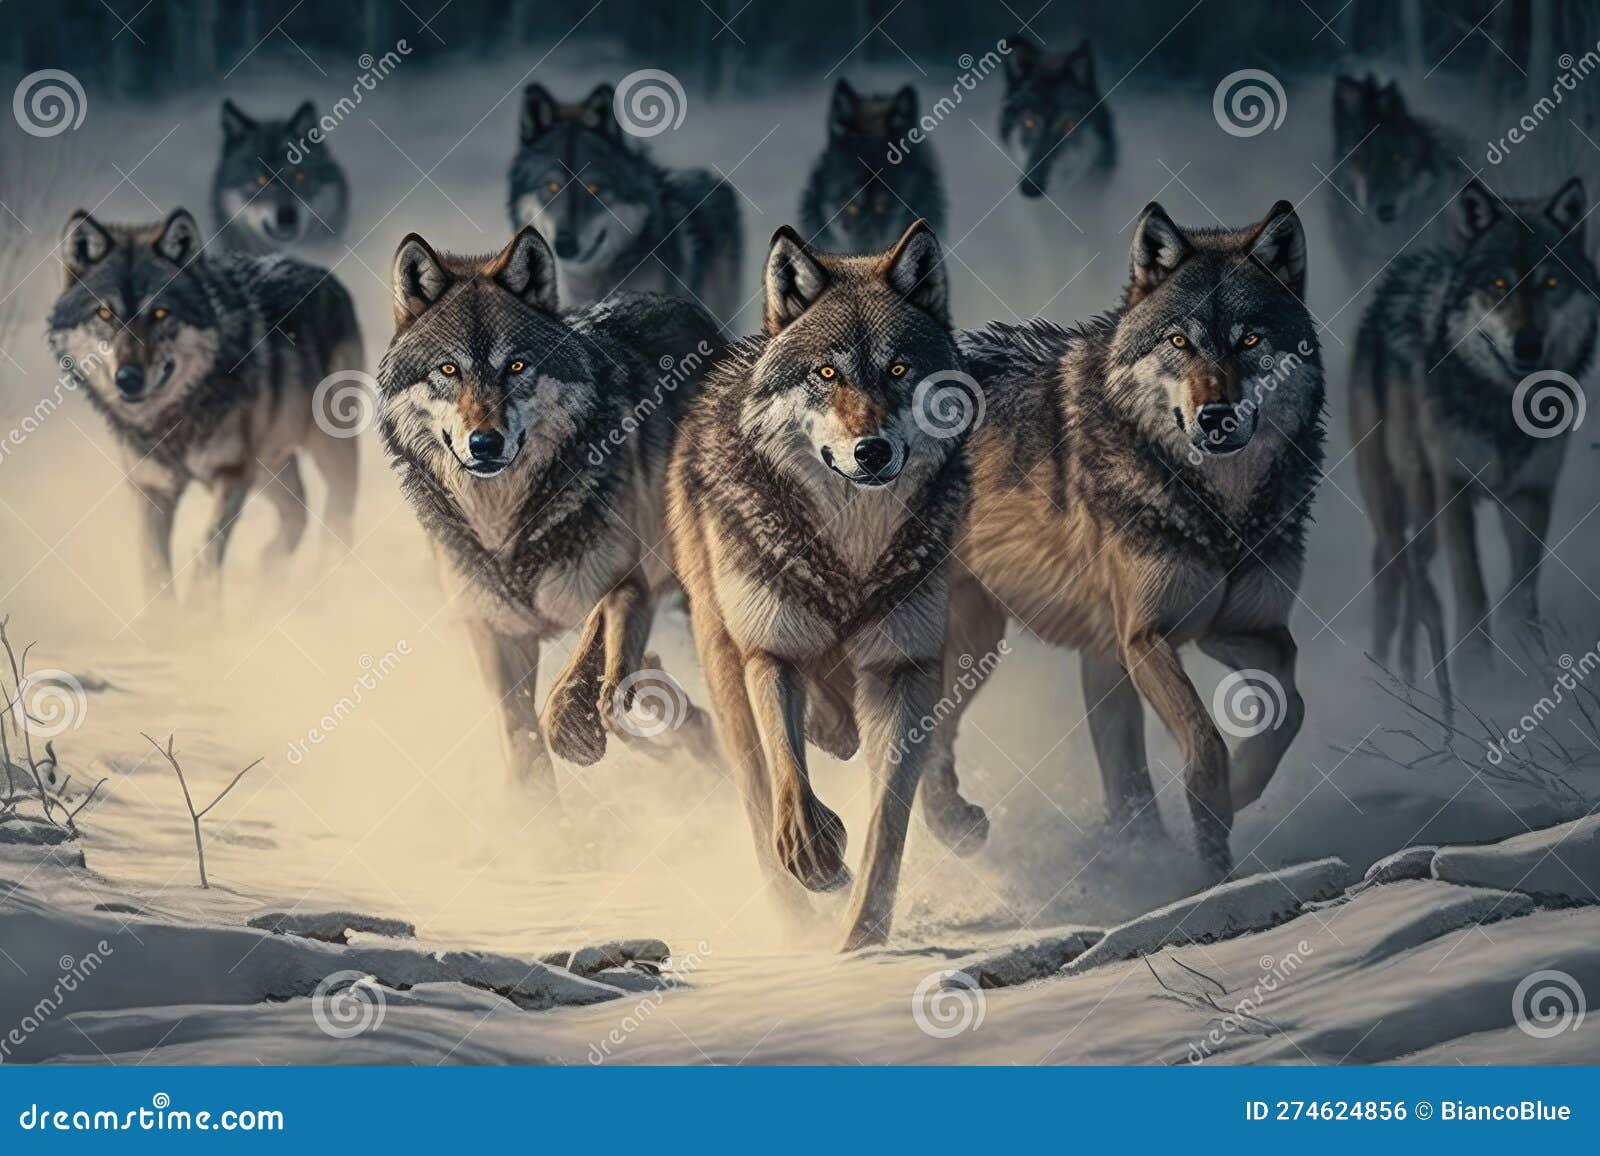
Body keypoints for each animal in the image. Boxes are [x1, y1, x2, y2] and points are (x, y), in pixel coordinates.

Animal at [47, 207, 362, 605]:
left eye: (160, 313)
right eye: (104, 314)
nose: (128, 378)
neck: (174, 421)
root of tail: (324, 274)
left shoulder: (230, 474)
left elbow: (206, 549)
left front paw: (200, 614)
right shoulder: (151, 488)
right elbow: (155, 569)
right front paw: (166, 620)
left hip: (325, 450)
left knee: (339, 513)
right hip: (268, 468)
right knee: (298, 510)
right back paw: (268, 577)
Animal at [379, 224, 723, 796]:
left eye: (516, 365)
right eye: (448, 369)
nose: (485, 443)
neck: (508, 528)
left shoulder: (626, 586)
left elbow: (580, 695)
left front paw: (582, 736)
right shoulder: (493, 629)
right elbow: (523, 746)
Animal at [667, 219, 988, 949]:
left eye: (898, 370)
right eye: (827, 373)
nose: (872, 450)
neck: (851, 558)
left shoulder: (902, 668)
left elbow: (889, 820)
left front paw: (860, 936)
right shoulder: (771, 650)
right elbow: (789, 771)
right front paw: (815, 855)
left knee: (937, 756)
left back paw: (953, 818)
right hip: (726, 666)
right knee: (760, 795)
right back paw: (792, 919)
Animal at [935, 201, 1322, 875]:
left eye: (1250, 340)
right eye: (1179, 341)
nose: (1215, 417)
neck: (1221, 514)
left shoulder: (1241, 627)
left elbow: (1290, 709)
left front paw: (1243, 791)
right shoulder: (1146, 635)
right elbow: (1205, 741)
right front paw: (1213, 846)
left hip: (995, 643)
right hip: (972, 645)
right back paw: (951, 829)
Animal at [1352, 178, 1597, 712]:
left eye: (1551, 284)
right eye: (1499, 285)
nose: (1527, 345)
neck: (1505, 408)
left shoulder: (1532, 493)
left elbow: (1522, 589)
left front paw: (1531, 664)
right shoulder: (1455, 490)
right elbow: (1473, 590)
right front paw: (1478, 676)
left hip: (1424, 521)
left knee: (1418, 590)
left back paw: (1414, 680)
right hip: (1406, 503)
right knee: (1389, 573)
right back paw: (1383, 680)